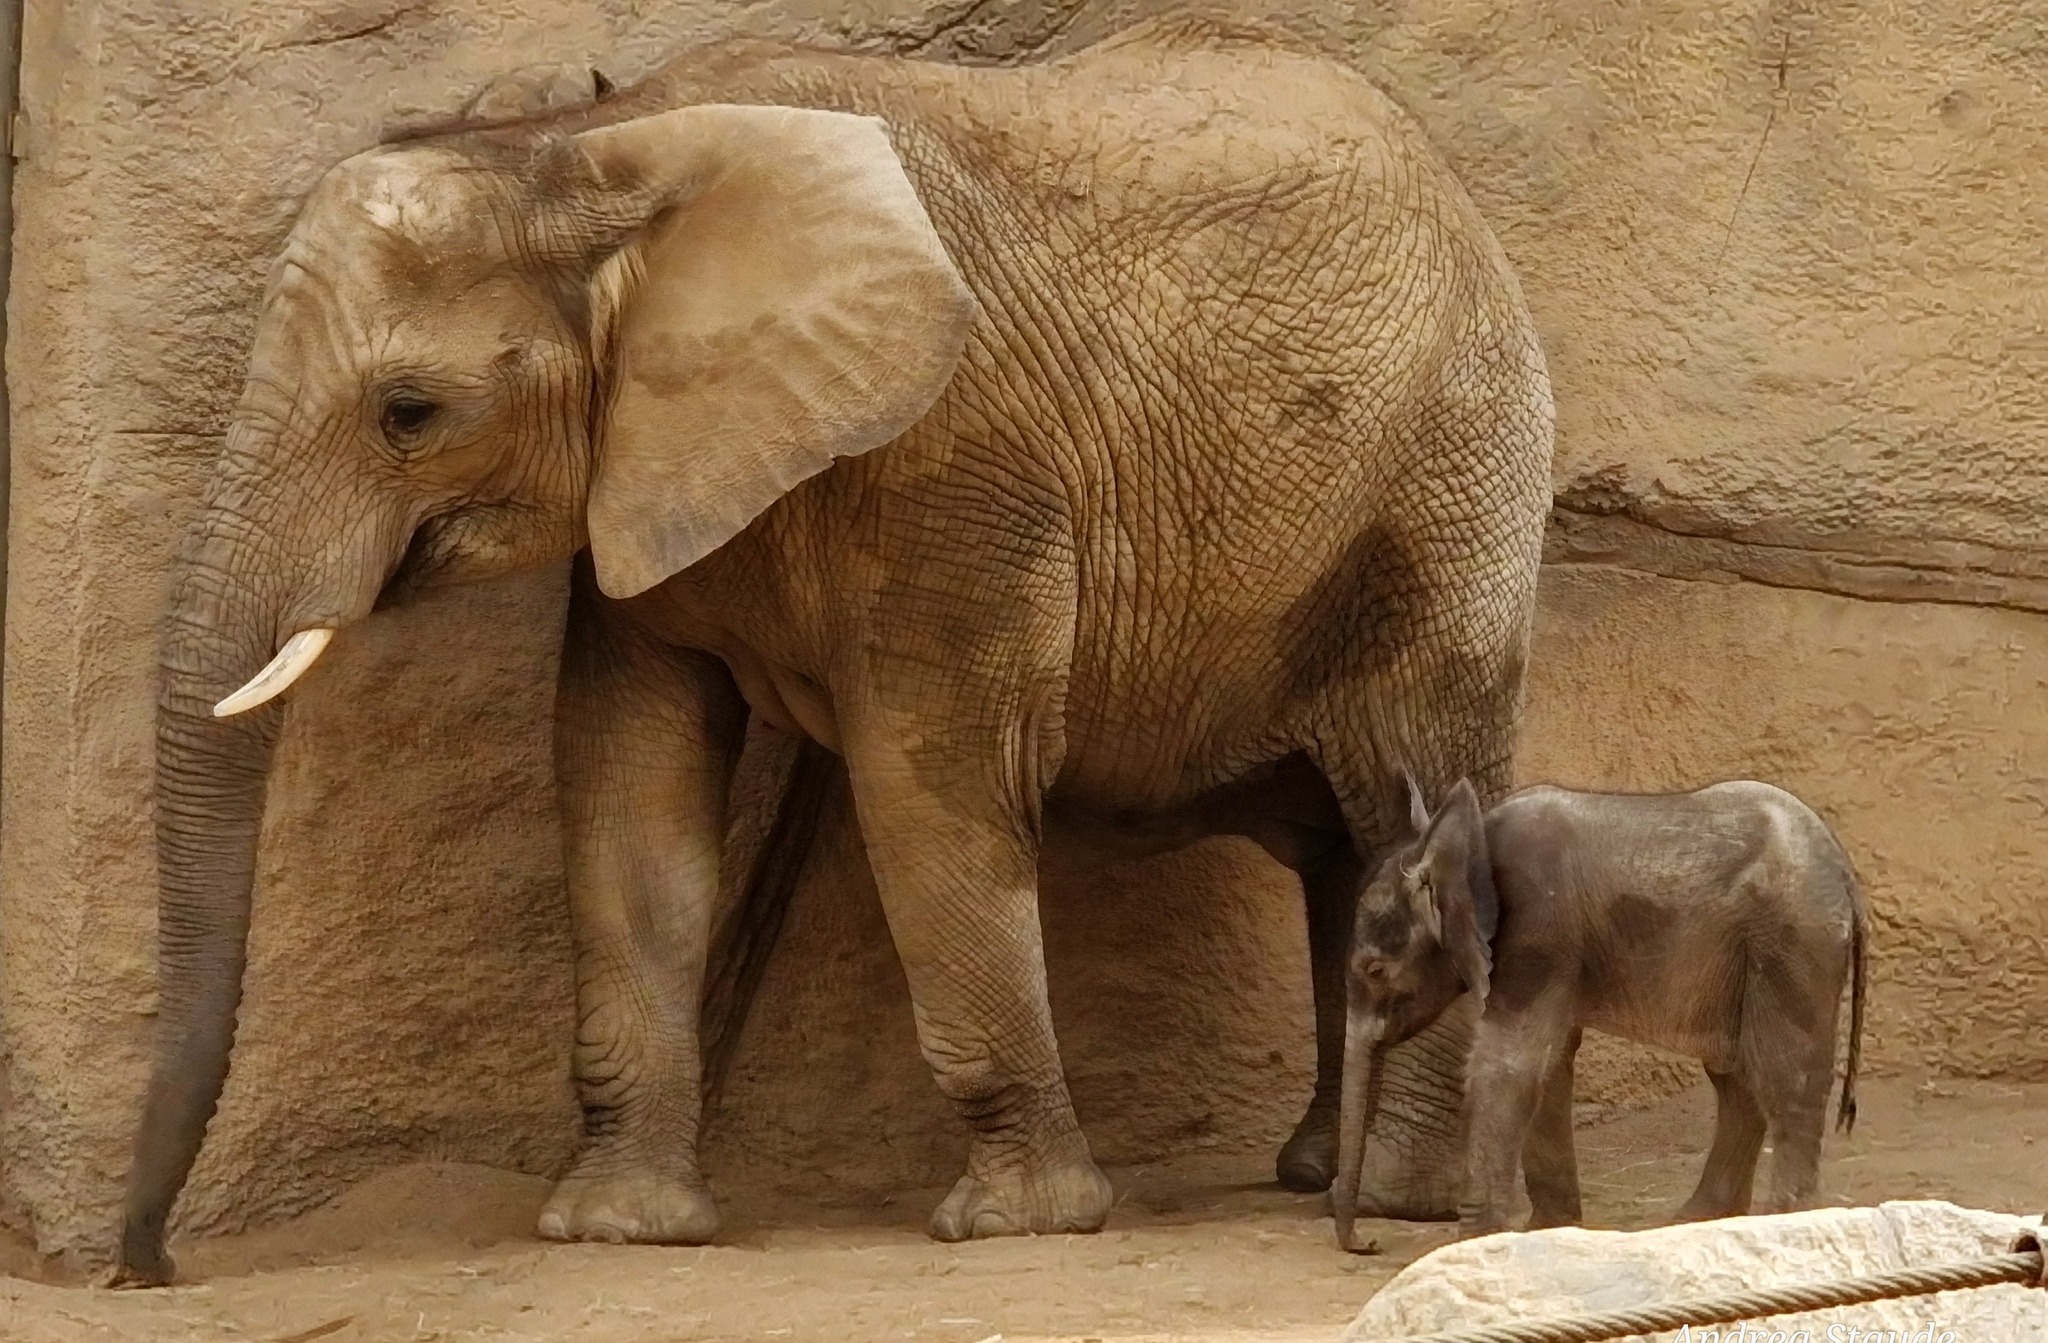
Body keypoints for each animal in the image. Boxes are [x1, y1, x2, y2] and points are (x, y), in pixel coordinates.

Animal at [113, 18, 1556, 1285]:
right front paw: (616, 1228)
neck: (592, 150)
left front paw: (1014, 1221)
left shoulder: (958, 461)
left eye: (409, 412)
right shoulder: (646, 481)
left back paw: (1404, 1193)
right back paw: (1318, 1167)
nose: (148, 1264)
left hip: (1446, 481)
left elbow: (930, 788)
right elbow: (630, 795)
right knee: (1343, 842)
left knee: (1405, 786)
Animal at [1332, 777, 1869, 1252]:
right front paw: (1547, 1231)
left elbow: (1511, 1066)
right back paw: (1697, 1222)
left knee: (1784, 1075)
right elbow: (1549, 1065)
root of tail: (1848, 875)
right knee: (1737, 1079)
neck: (1470, 837)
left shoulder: (1538, 930)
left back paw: (1782, 1224)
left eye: (1374, 970)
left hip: (1792, 942)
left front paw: (1475, 1242)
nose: (1367, 1243)